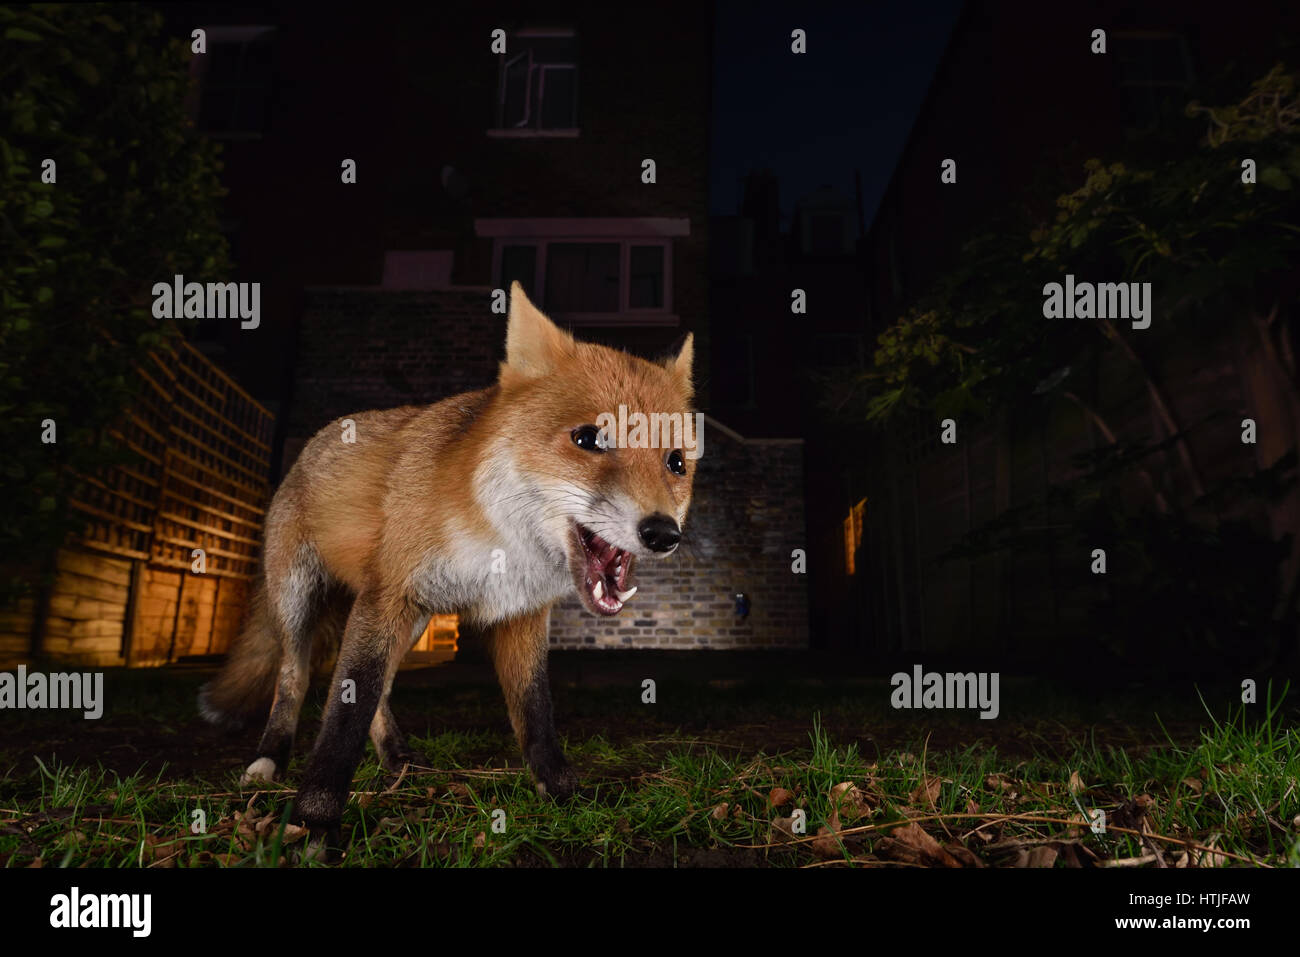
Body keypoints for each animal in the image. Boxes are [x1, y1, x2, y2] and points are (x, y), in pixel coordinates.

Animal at [199, 281, 695, 845]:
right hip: (301, 599)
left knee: (383, 690)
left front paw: (562, 792)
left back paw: (397, 759)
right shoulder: (388, 594)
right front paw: (314, 818)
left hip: (412, 619)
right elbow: (346, 712)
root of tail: (309, 447)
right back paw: (269, 760)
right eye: (589, 439)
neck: (499, 547)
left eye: (676, 462)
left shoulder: (520, 615)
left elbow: (535, 714)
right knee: (294, 680)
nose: (663, 534)